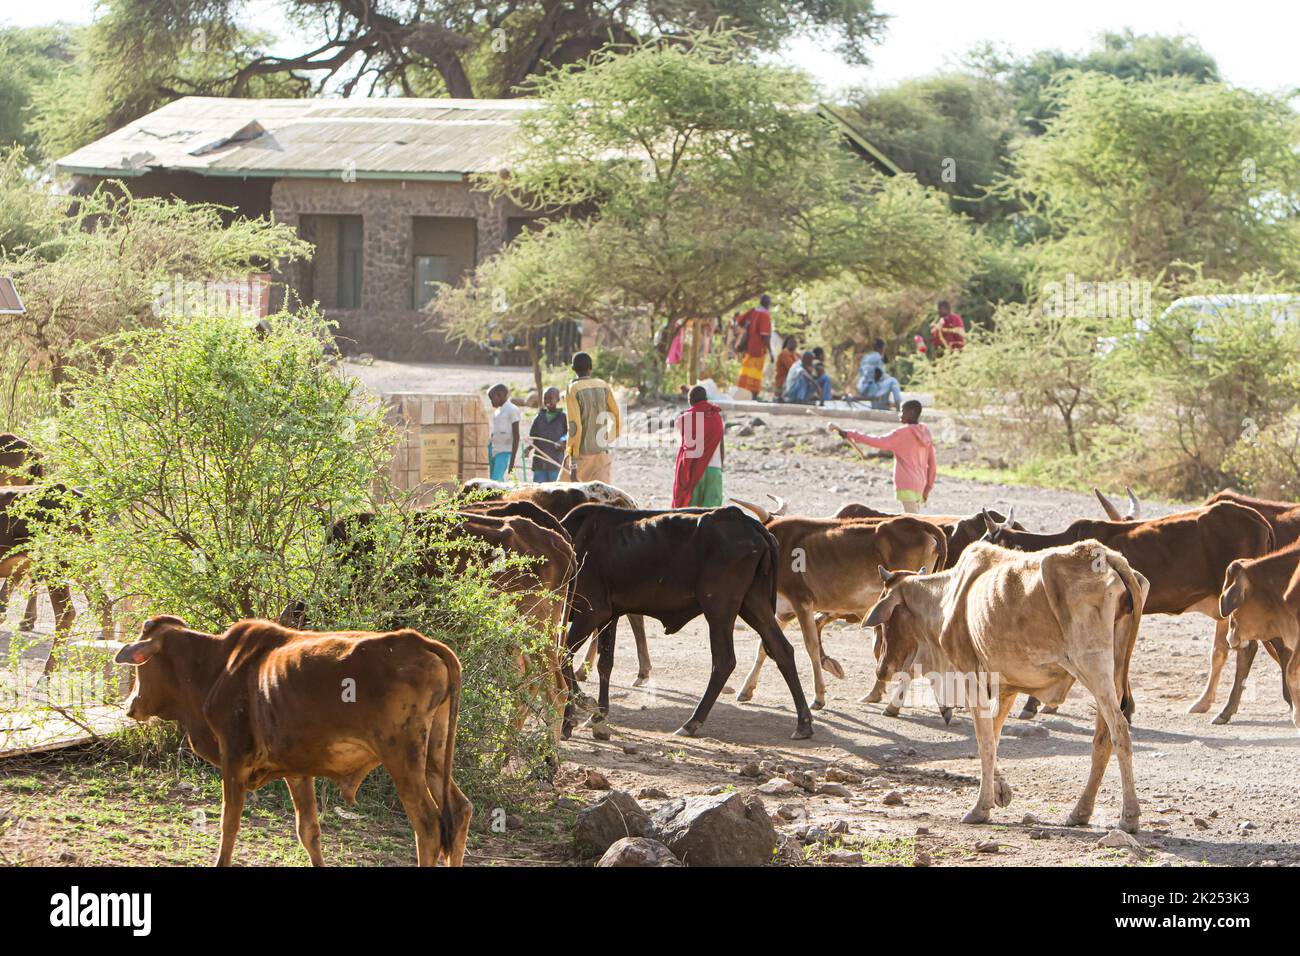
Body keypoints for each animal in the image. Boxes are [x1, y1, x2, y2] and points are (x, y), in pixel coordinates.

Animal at [114, 615, 470, 866]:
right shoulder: (298, 771)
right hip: (434, 756)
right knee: (459, 811)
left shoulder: (234, 758)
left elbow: (229, 825)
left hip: (402, 757)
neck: (216, 666)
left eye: (141, 666)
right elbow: (308, 832)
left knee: (428, 826)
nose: (130, 704)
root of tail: (418, 641)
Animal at [559, 503, 814, 740]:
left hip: (719, 609)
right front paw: (597, 714)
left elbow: (562, 656)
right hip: (753, 603)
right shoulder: (609, 617)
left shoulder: (592, 612)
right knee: (782, 650)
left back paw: (692, 723)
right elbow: (604, 664)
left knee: (724, 661)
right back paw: (803, 723)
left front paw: (575, 713)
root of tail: (747, 522)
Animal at [729, 497, 947, 710]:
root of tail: (920, 525)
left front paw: (818, 697)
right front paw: (746, 689)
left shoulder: (802, 602)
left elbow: (811, 646)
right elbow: (764, 646)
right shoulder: (784, 610)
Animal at [864, 541, 1149, 832]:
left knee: (1120, 731)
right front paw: (1000, 790)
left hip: (1093, 668)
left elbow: (985, 741)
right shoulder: (1008, 686)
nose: (882, 669)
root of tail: (1109, 557)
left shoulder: (970, 676)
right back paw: (1080, 812)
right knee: (1102, 740)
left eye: (883, 623)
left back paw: (1128, 817)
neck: (947, 598)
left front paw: (981, 807)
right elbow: (995, 733)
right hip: (1114, 672)